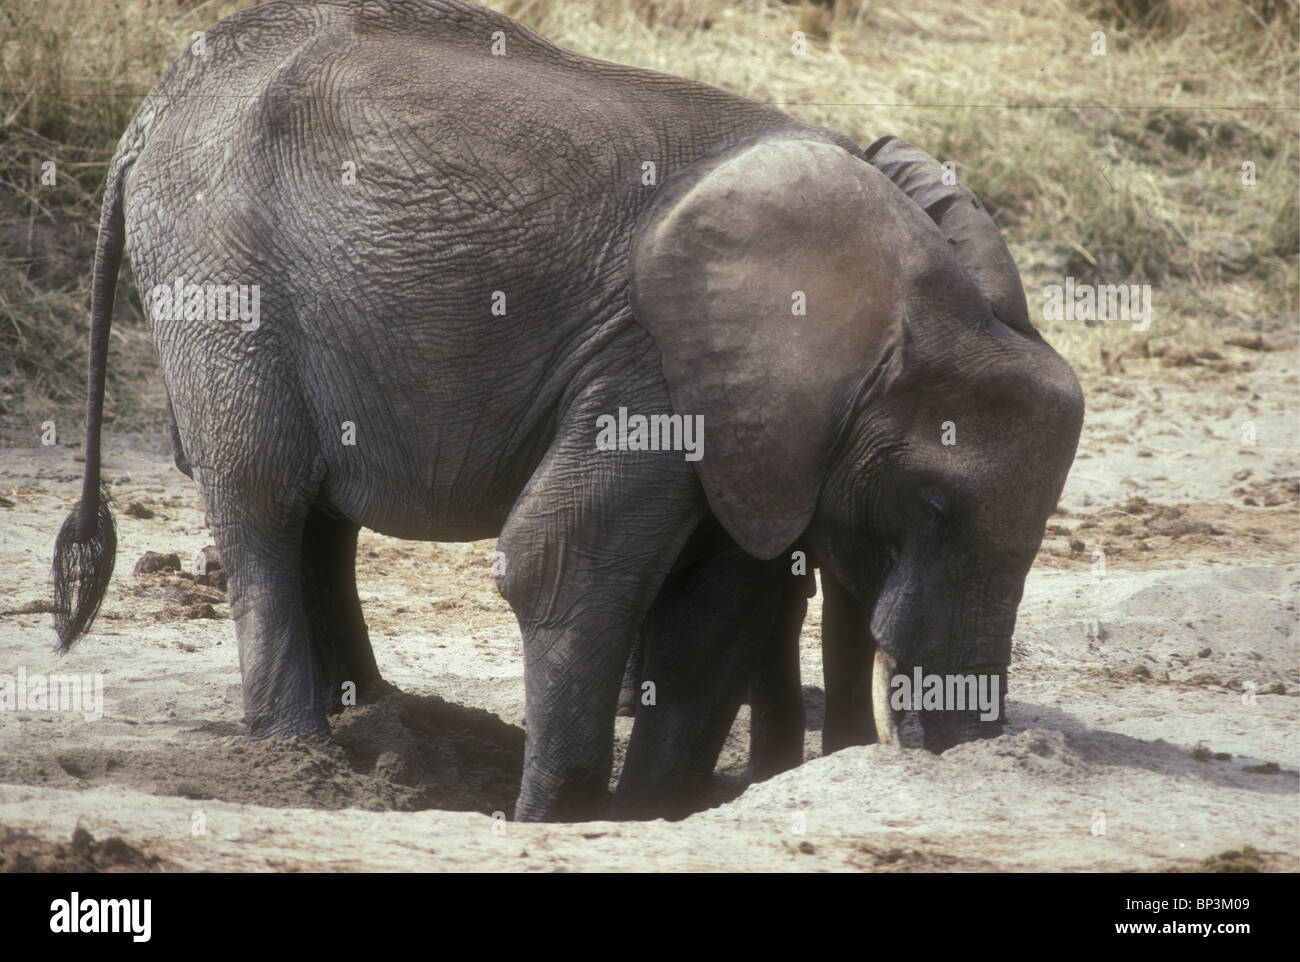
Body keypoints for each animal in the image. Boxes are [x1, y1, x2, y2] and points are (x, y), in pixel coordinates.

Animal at [52, 0, 1084, 821]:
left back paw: (379, 727)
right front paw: (557, 817)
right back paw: (301, 760)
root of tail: (150, 114)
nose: (946, 757)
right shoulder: (647, 362)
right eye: (932, 504)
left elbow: (719, 604)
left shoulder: (745, 423)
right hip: (221, 282)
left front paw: (649, 812)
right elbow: (560, 563)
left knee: (317, 512)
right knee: (265, 496)